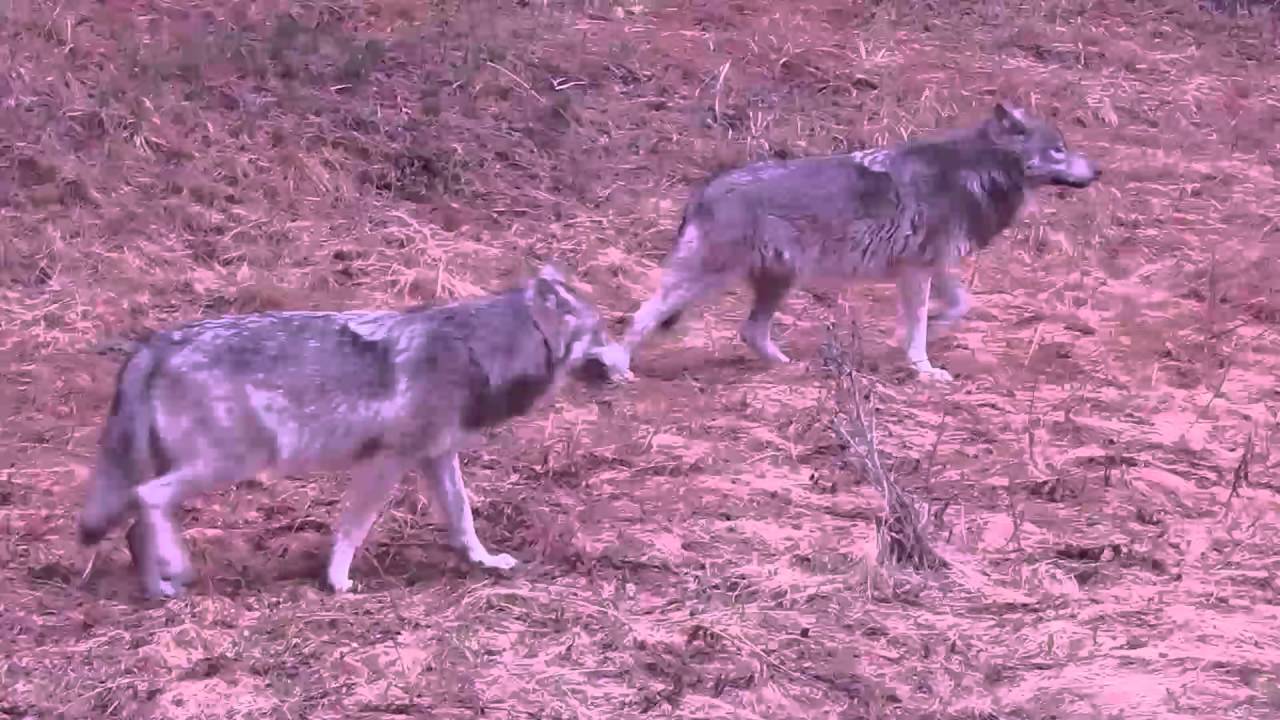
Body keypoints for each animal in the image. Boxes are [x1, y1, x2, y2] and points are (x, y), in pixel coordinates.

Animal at [76, 264, 630, 599]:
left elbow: (463, 519)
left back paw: (159, 592)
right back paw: (176, 572)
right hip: (230, 463)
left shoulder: (436, 457)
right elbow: (352, 529)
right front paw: (337, 582)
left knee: (135, 525)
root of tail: (155, 343)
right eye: (602, 333)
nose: (627, 362)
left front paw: (485, 561)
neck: (480, 351)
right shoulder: (385, 462)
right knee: (149, 501)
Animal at [618, 102, 1102, 381]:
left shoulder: (933, 266)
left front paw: (921, 335)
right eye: (1058, 150)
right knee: (642, 316)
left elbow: (959, 307)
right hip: (710, 279)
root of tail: (705, 189)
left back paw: (790, 369)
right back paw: (620, 368)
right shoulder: (917, 271)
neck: (976, 172)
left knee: (750, 331)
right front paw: (924, 368)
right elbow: (920, 327)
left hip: (777, 281)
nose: (1098, 171)